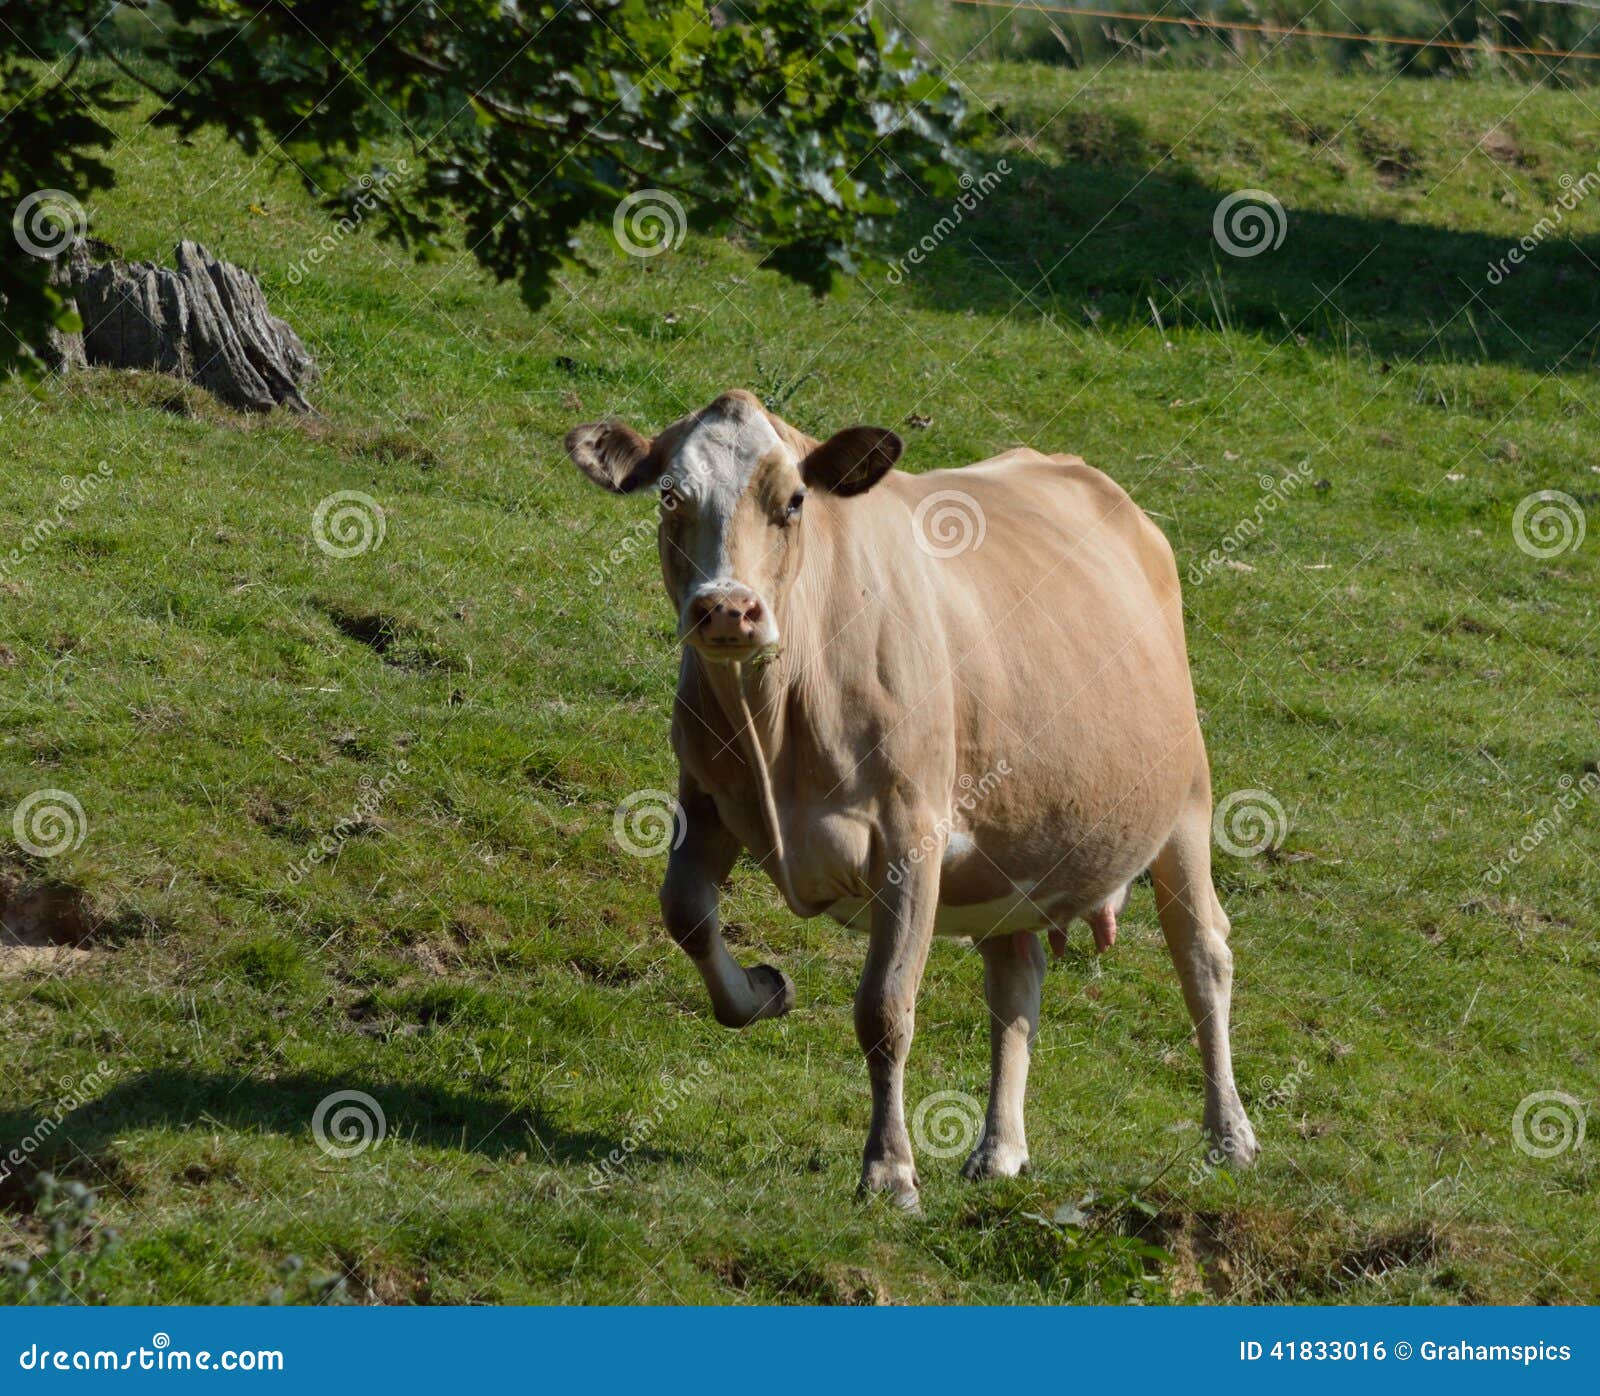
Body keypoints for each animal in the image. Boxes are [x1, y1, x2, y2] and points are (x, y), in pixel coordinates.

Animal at [566, 390, 1258, 1210]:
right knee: (1017, 981)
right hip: (1013, 845)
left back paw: (1229, 1136)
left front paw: (890, 1168)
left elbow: (885, 1008)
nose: (729, 610)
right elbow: (686, 915)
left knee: (1204, 956)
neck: (778, 715)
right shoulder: (701, 800)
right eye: (670, 497)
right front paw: (765, 991)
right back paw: (999, 1148)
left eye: (793, 501)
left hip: (1185, 804)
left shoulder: (909, 835)